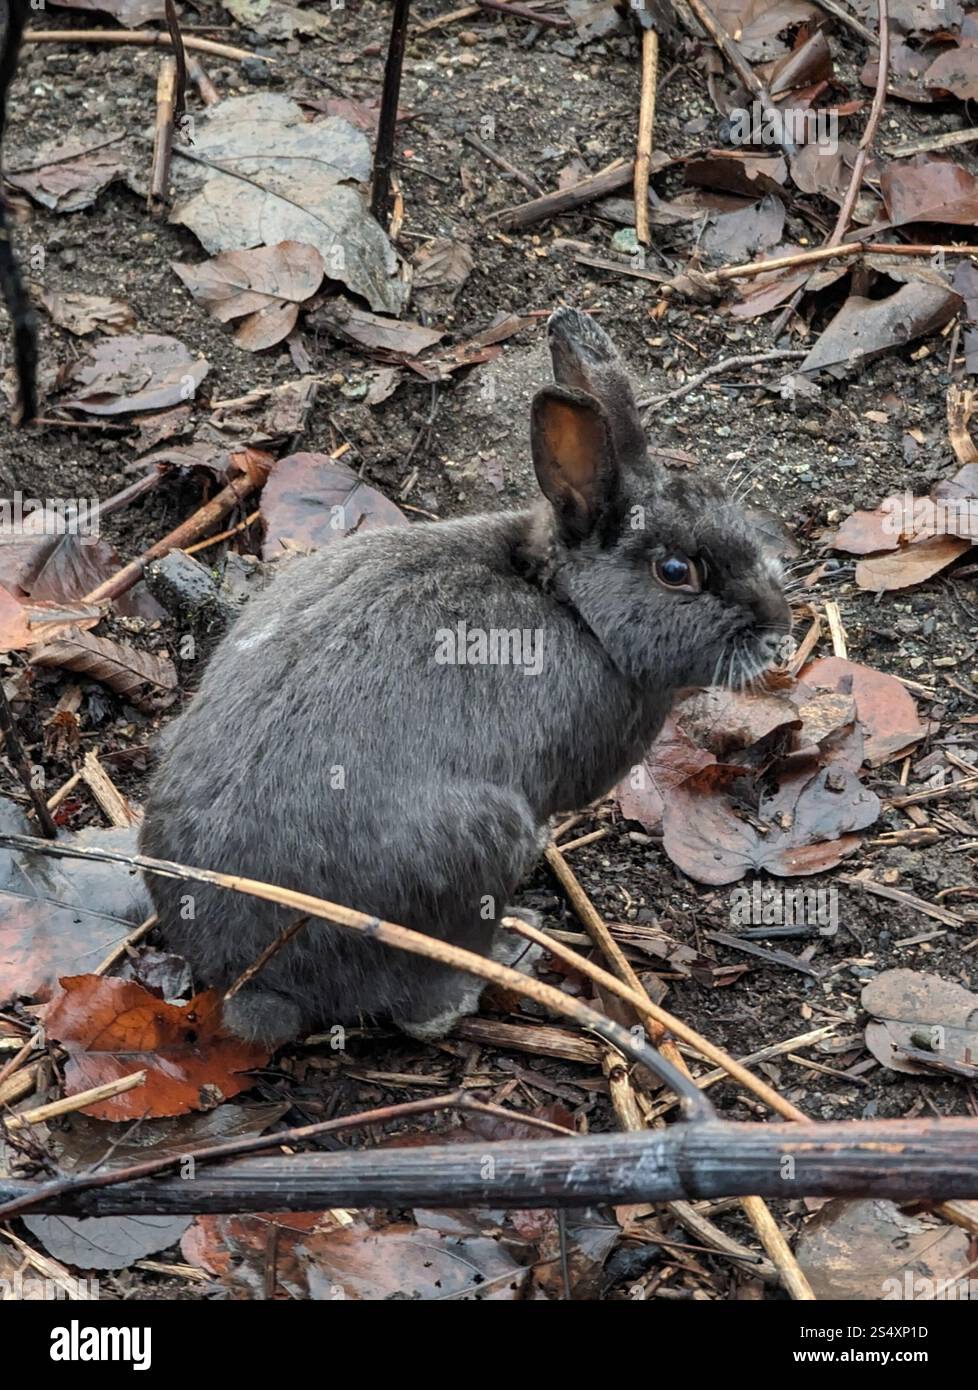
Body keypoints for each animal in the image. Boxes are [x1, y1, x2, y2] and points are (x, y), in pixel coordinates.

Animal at [139, 307, 791, 1047]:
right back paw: (514, 947)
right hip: (471, 852)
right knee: (425, 1008)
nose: (776, 627)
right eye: (676, 571)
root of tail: (253, 980)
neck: (566, 598)